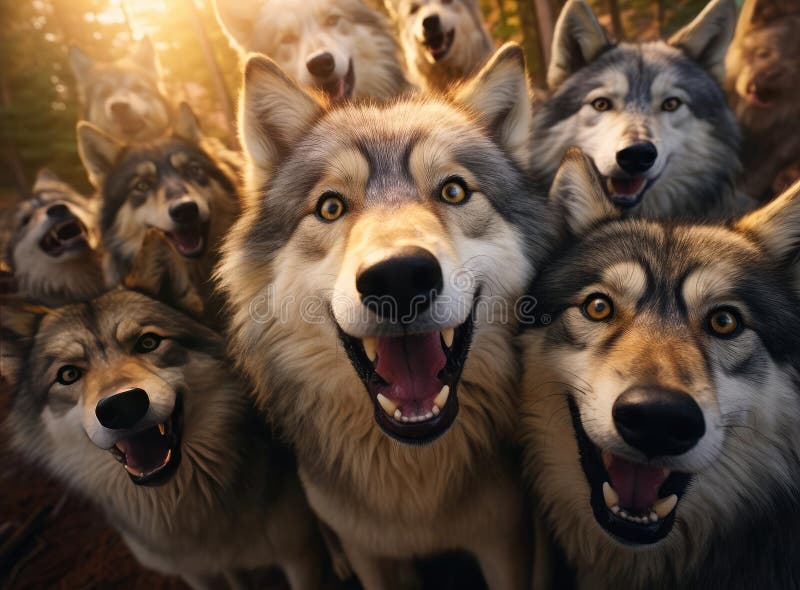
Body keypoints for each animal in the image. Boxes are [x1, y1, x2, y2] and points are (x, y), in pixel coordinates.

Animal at [0, 233, 324, 590]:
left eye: (148, 343)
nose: (121, 406)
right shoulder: (197, 573)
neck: (188, 508)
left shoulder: (299, 553)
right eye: (69, 375)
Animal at [217, 44, 556, 589]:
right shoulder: (367, 550)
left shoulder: (506, 541)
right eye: (330, 207)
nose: (398, 277)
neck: (414, 477)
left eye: (454, 191)